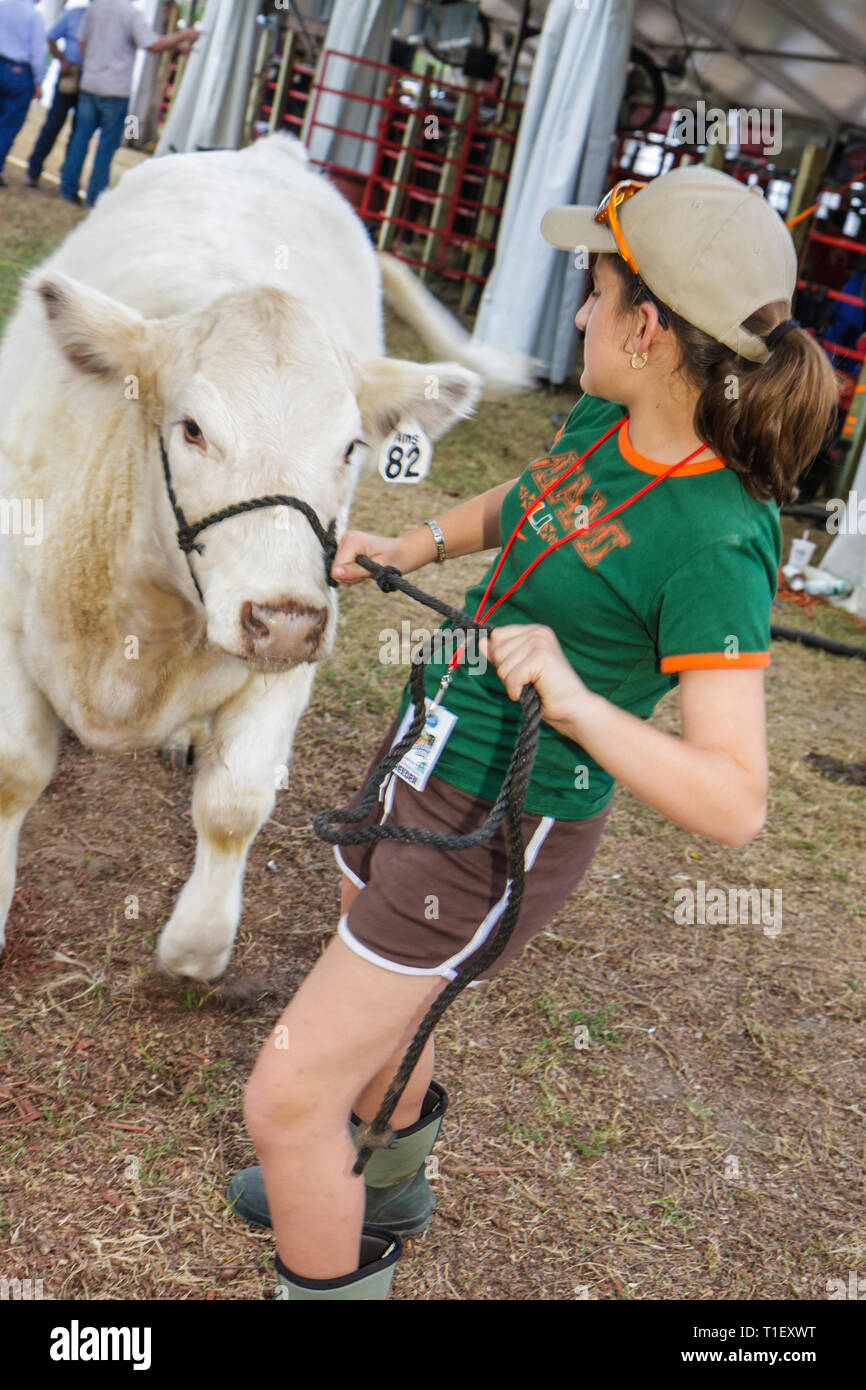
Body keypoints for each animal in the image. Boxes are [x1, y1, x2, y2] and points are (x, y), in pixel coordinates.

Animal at [0, 134, 533, 982]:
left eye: (351, 447)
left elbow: (236, 804)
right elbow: (14, 771)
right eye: (191, 429)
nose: (279, 620)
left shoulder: (302, 639)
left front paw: (196, 948)